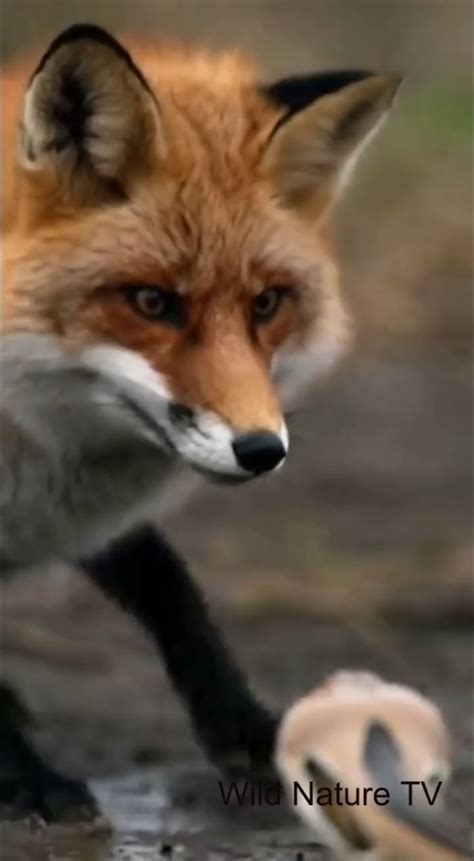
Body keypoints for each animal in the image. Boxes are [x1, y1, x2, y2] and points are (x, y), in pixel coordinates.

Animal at [1, 23, 400, 823]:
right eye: (152, 302)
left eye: (267, 303)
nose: (261, 449)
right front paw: (25, 775)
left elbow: (170, 583)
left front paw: (245, 726)